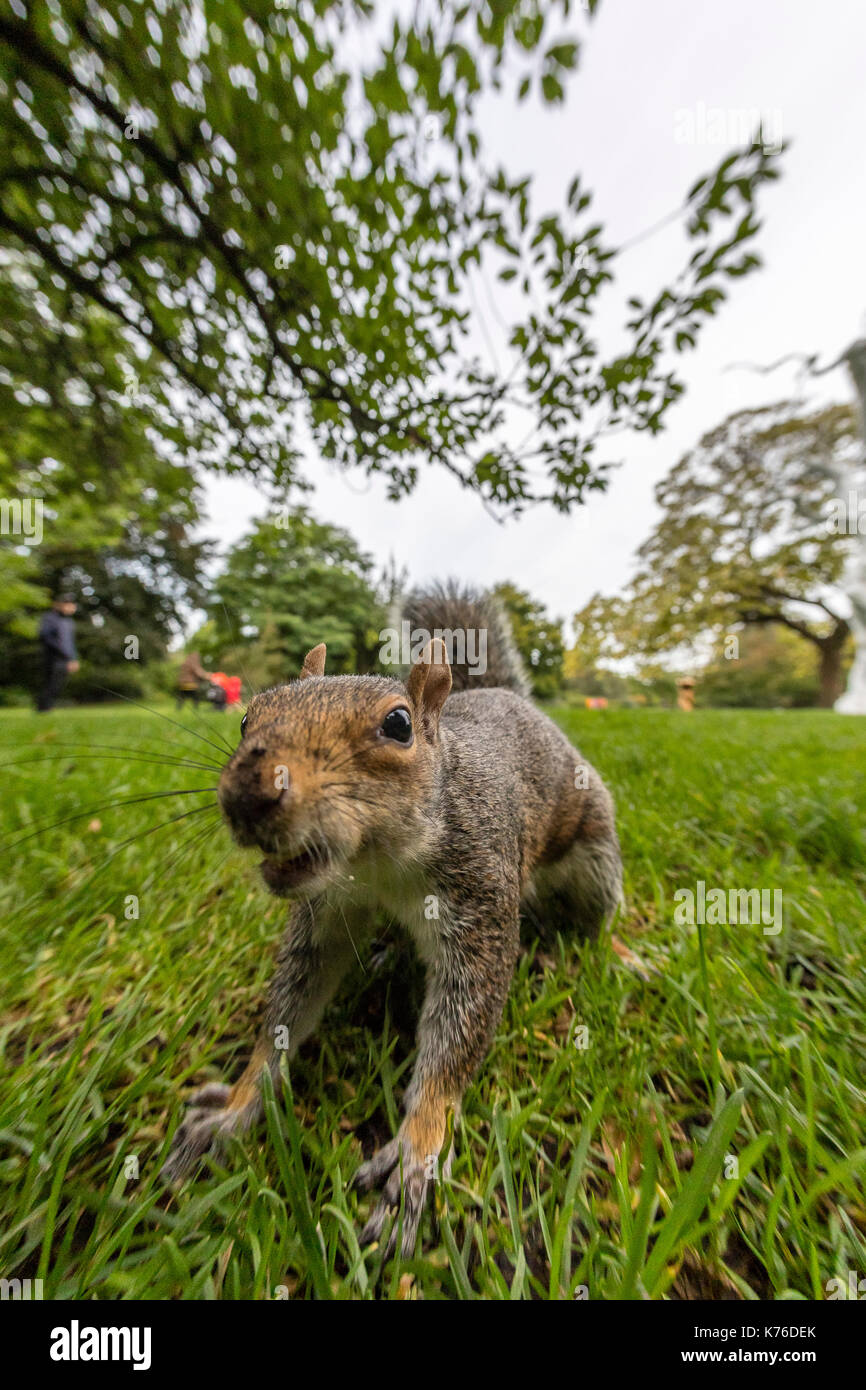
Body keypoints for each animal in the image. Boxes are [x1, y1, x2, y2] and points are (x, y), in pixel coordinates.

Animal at [161, 584, 622, 1256]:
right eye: (248, 718)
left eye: (398, 725)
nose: (248, 795)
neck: (378, 863)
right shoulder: (325, 914)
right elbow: (289, 1008)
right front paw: (234, 1109)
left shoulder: (480, 906)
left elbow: (460, 1030)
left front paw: (415, 1155)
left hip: (590, 856)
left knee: (592, 915)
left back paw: (592, 953)